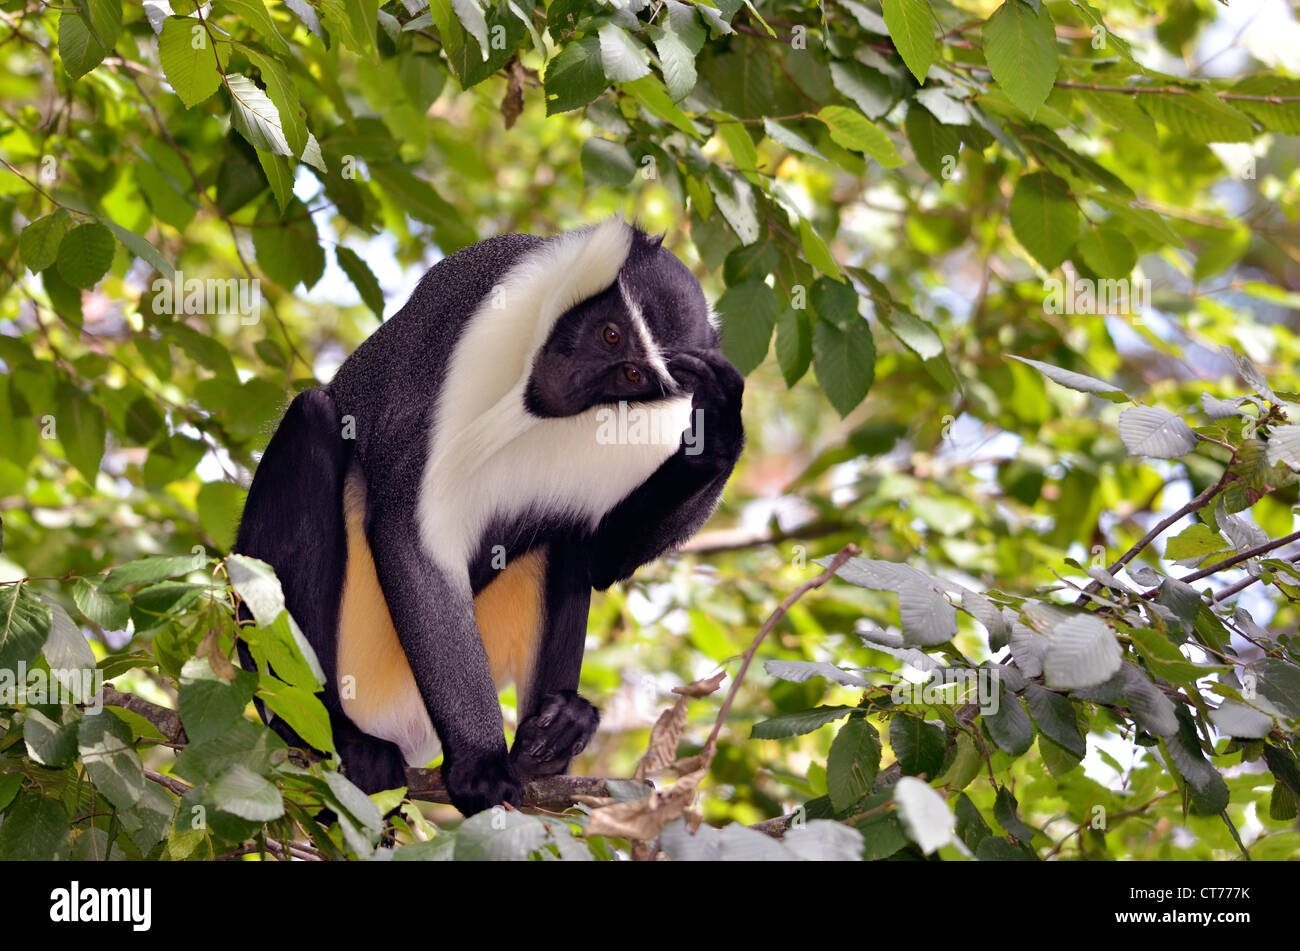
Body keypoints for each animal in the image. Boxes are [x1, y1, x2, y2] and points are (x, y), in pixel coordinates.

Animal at [233, 217, 744, 816]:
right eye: (611, 335)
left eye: (633, 375)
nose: (573, 382)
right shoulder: (481, 311)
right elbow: (413, 531)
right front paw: (479, 764)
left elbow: (603, 558)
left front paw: (718, 430)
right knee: (312, 418)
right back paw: (335, 733)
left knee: (566, 533)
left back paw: (548, 746)